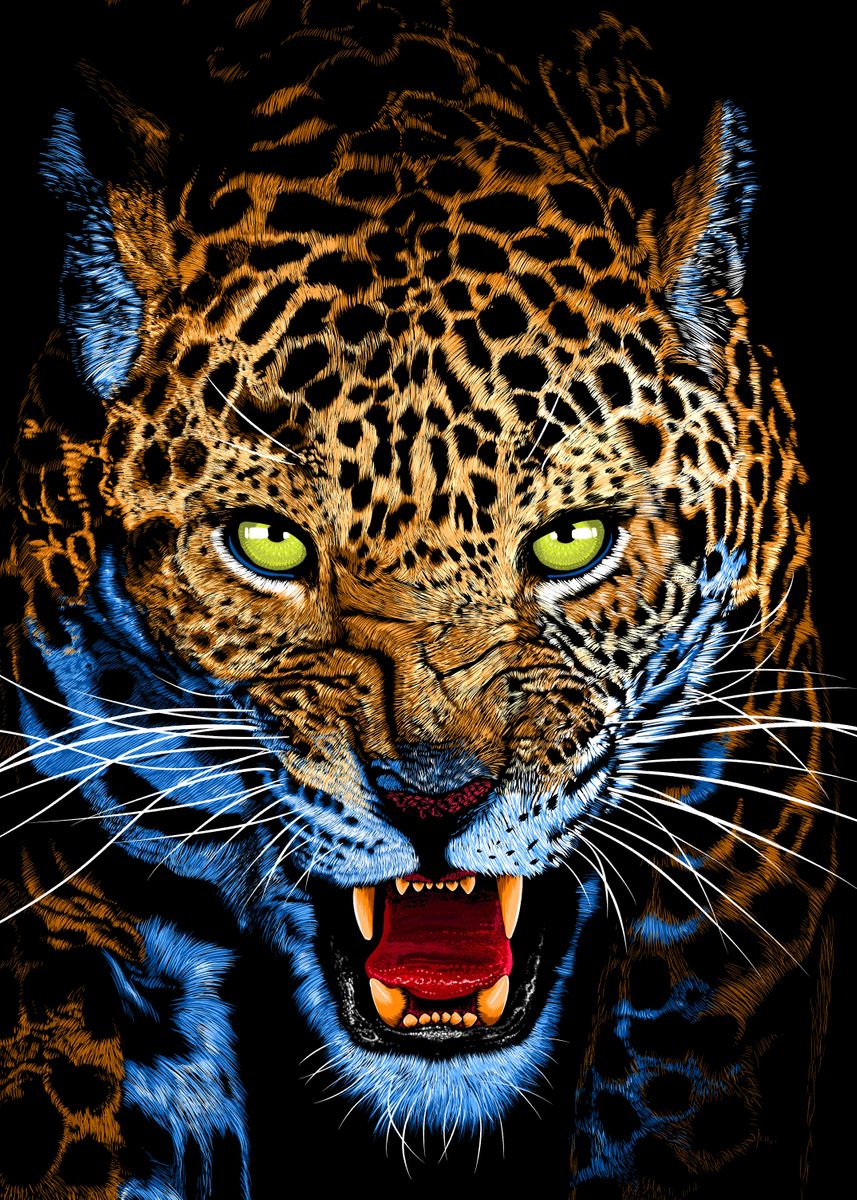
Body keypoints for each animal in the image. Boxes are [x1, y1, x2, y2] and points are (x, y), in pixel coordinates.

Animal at [0, 5, 838, 1198]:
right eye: (268, 544)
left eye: (571, 541)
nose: (434, 802)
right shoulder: (75, 871)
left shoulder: (741, 848)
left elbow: (680, 1111)